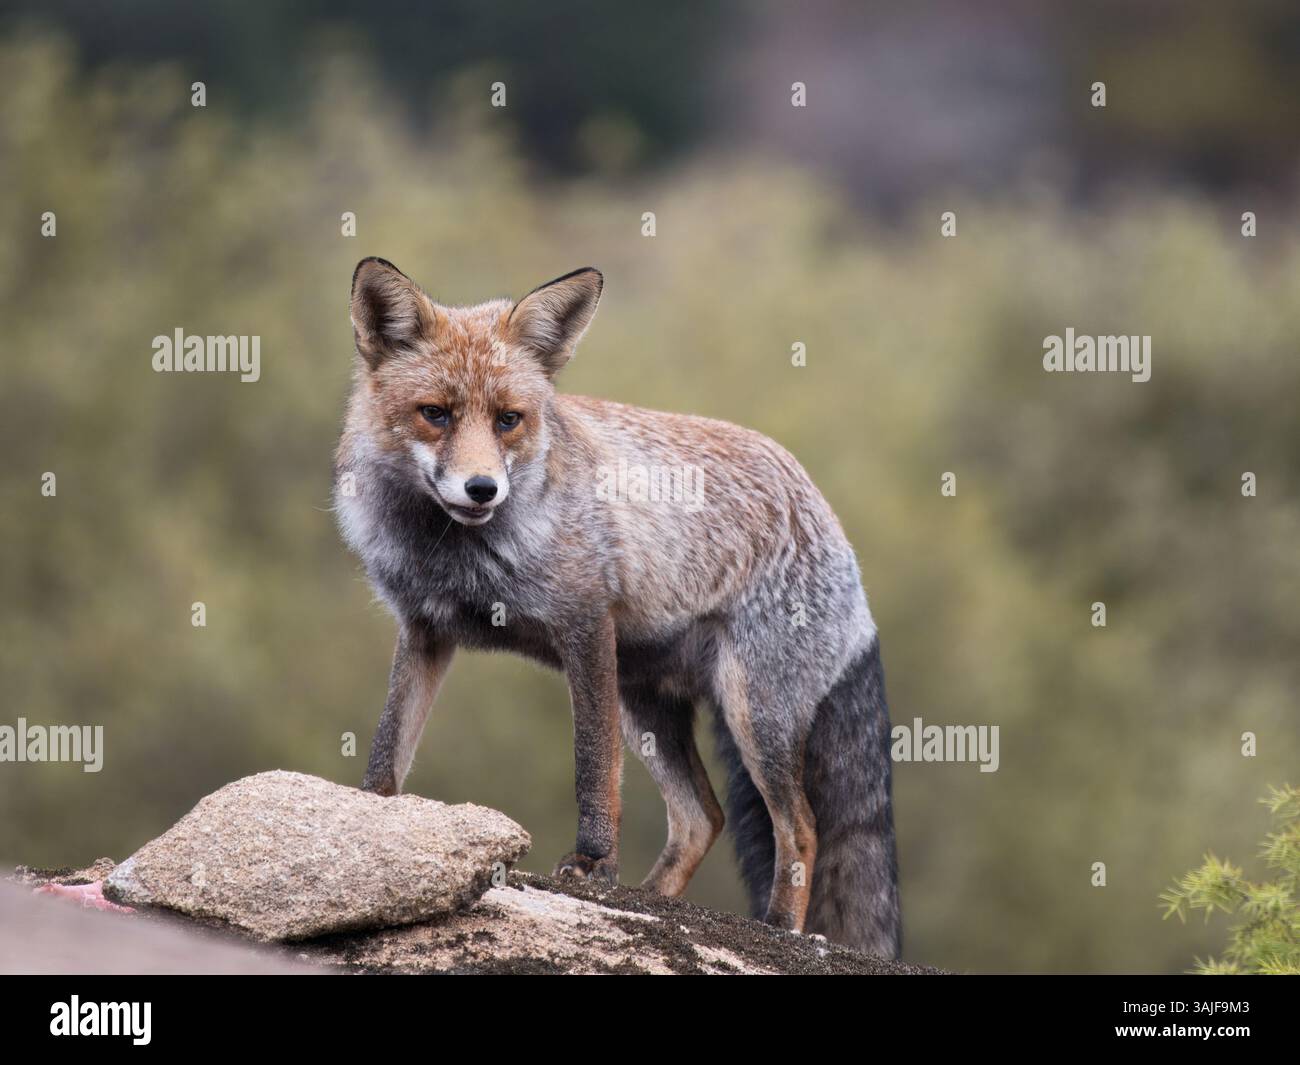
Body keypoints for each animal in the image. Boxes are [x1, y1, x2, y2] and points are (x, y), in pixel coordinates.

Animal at [334, 258, 901, 957]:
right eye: (434, 414)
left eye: (508, 420)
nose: (482, 488)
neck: (454, 552)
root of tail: (823, 510)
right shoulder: (425, 630)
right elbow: (387, 751)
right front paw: (367, 829)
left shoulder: (584, 623)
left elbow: (592, 766)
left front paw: (594, 865)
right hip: (646, 704)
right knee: (702, 817)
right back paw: (654, 906)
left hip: (752, 713)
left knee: (800, 826)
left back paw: (778, 928)